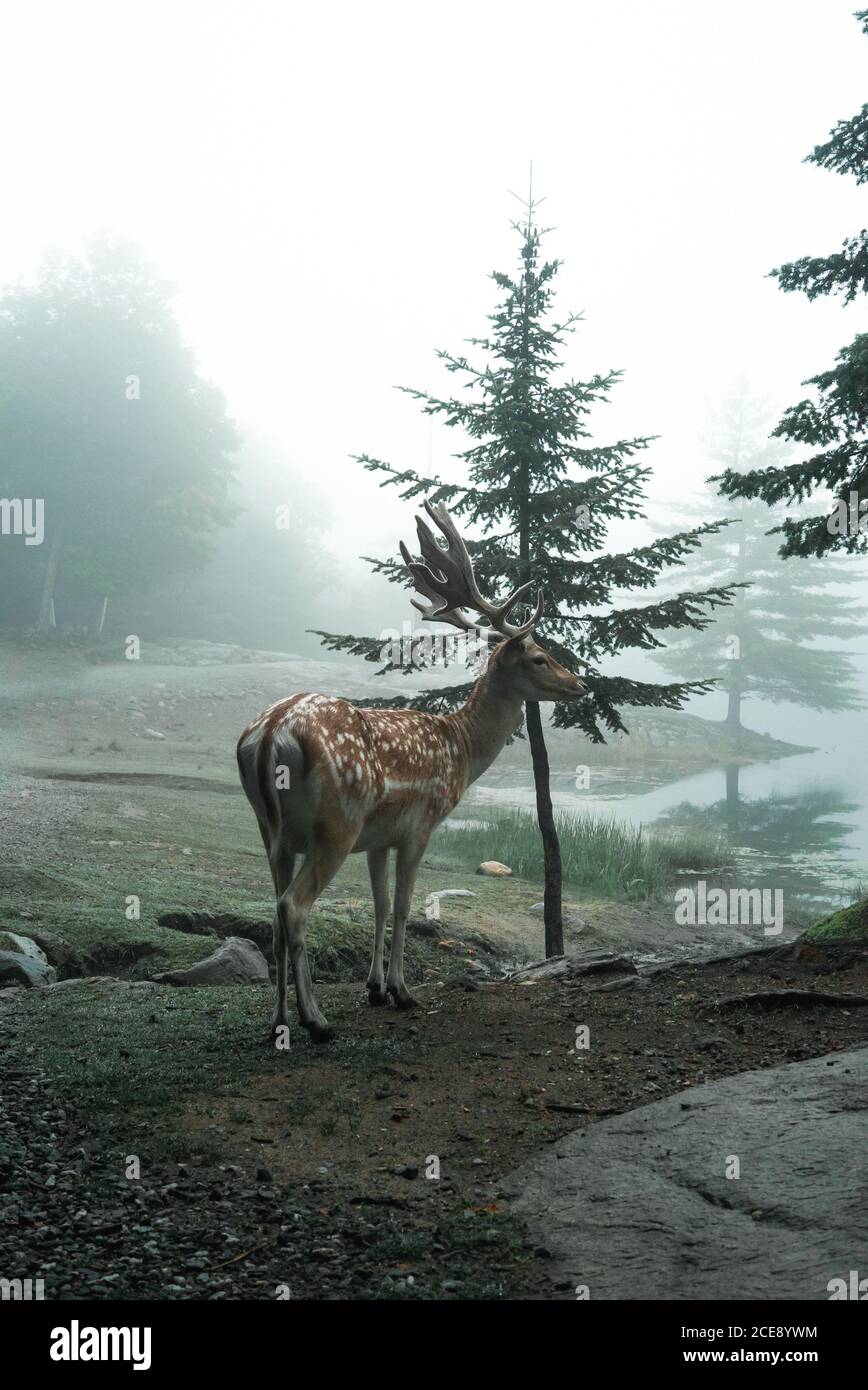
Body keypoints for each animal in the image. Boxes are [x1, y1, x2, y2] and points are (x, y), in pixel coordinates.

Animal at [236, 501, 586, 1043]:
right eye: (539, 656)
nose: (581, 682)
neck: (461, 749)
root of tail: (273, 731)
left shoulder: (379, 838)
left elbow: (379, 904)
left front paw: (375, 988)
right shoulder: (419, 825)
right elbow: (404, 905)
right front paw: (401, 992)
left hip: (270, 831)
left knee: (274, 909)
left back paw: (278, 1022)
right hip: (335, 825)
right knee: (294, 906)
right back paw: (317, 1020)